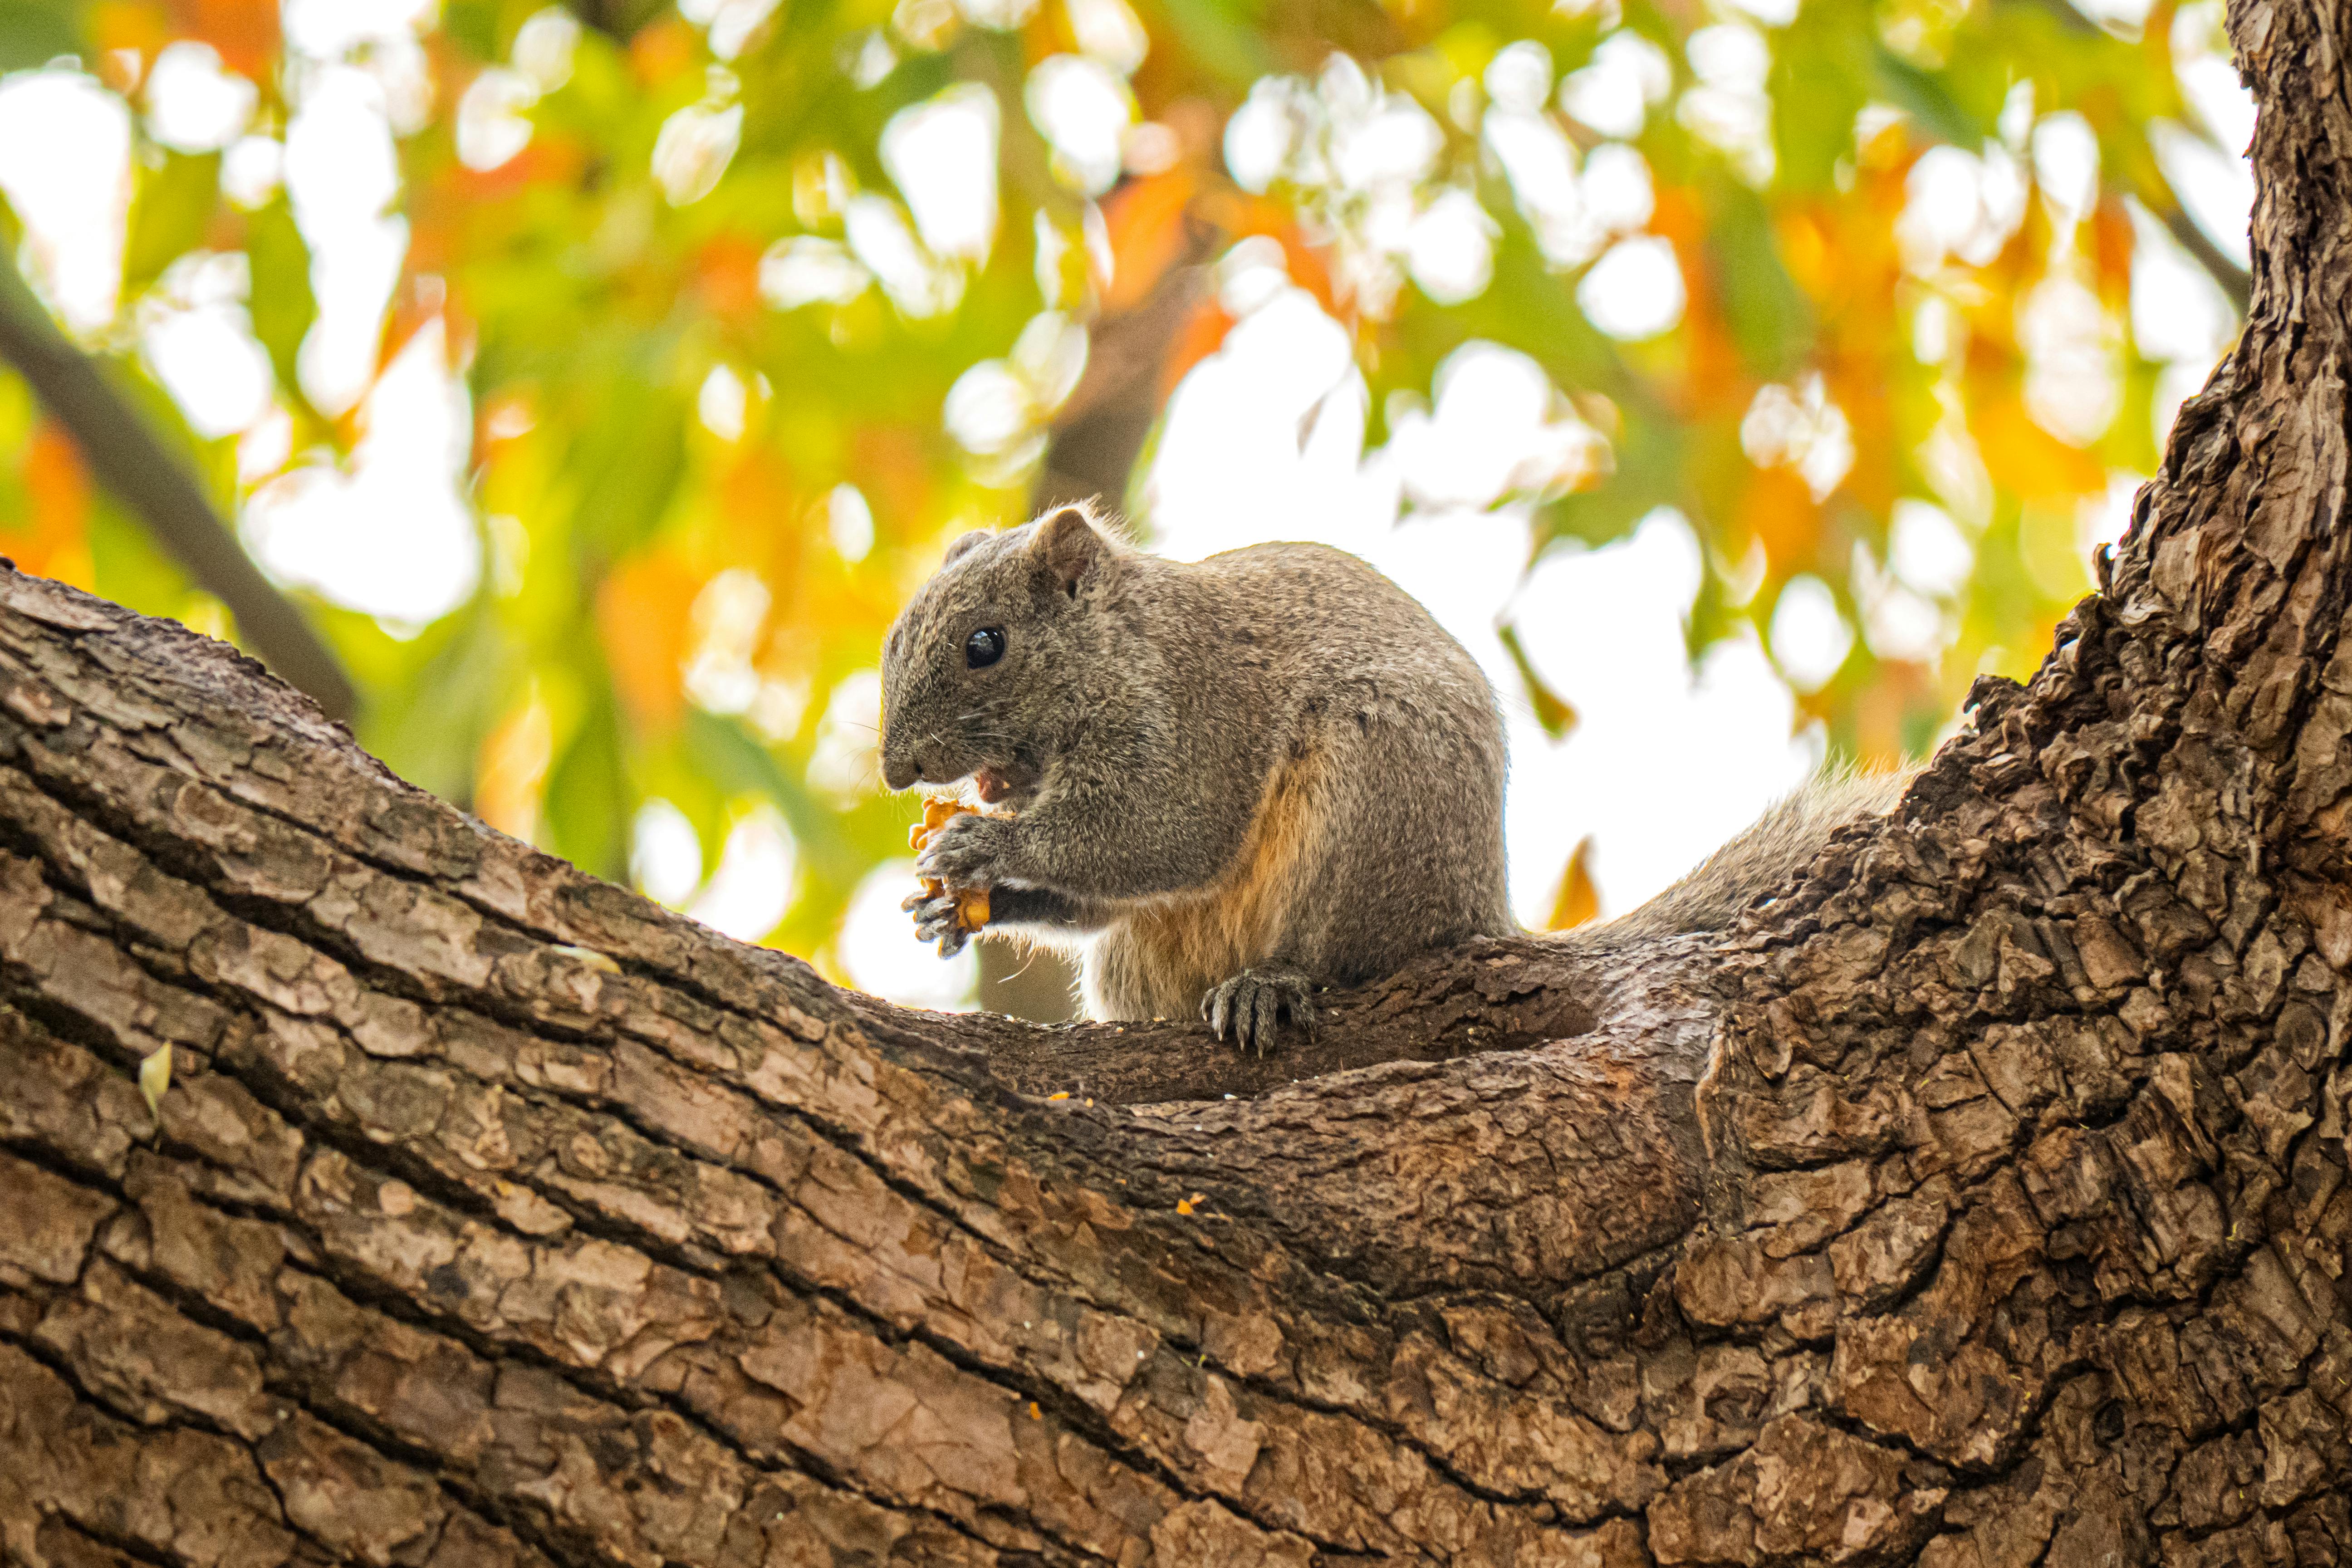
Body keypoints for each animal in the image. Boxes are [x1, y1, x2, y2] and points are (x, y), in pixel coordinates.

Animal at [880, 502, 1907, 1052]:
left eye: (985, 645)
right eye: (896, 636)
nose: (897, 772)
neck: (1118, 641)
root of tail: (1476, 907)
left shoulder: (1191, 717)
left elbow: (1160, 833)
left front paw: (981, 845)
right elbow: (1104, 889)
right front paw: (955, 906)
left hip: (1373, 789)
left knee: (1347, 959)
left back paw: (1273, 984)